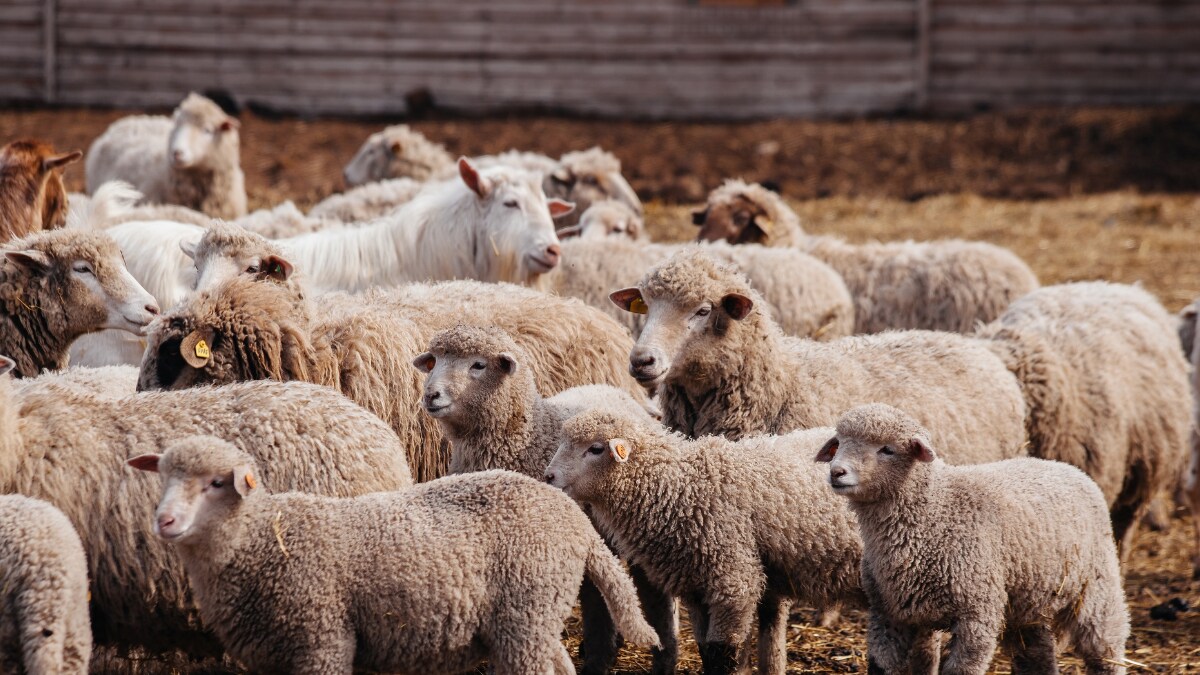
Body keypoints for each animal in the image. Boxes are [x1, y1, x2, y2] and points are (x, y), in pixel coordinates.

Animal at [129, 436, 658, 674]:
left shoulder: (323, 642)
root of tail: (574, 518)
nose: (164, 521)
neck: (261, 538)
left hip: (525, 615)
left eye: (217, 483)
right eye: (164, 476)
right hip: (535, 619)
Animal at [818, 403, 1130, 675]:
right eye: (840, 442)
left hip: (1098, 587)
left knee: (1106, 647)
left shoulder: (977, 612)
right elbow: (881, 666)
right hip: (1026, 599)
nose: (837, 472)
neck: (935, 511)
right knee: (1037, 654)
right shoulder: (887, 613)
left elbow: (963, 669)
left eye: (887, 449)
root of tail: (1066, 468)